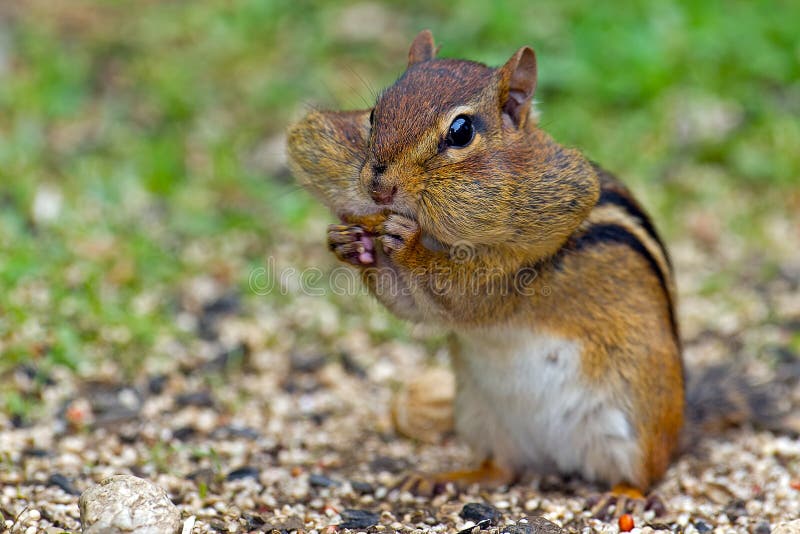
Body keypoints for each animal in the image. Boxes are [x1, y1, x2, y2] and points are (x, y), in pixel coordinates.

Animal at [287, 30, 793, 500]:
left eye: (461, 132)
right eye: (374, 114)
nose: (378, 187)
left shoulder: (515, 271)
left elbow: (460, 294)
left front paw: (406, 245)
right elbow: (413, 305)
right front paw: (348, 243)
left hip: (635, 422)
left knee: (647, 474)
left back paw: (620, 496)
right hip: (481, 416)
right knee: (502, 469)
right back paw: (444, 476)